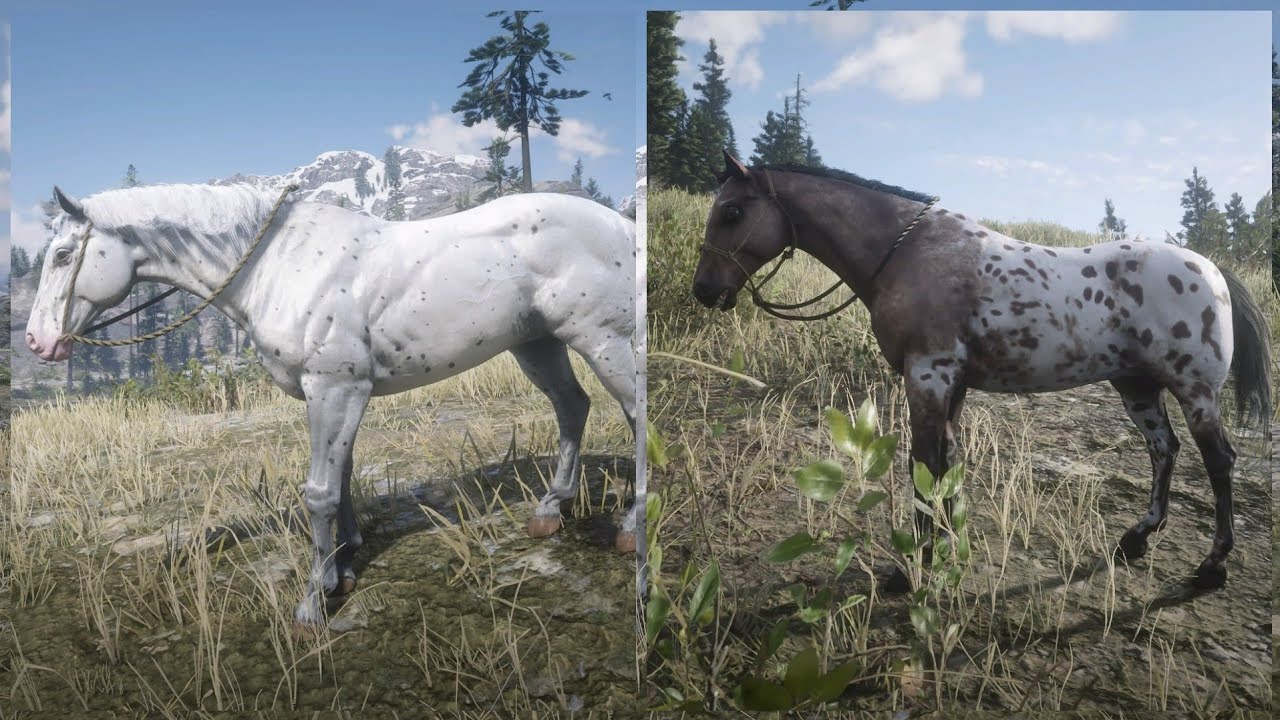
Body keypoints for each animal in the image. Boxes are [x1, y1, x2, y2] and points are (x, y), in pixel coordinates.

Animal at [26, 183, 638, 626]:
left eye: (63, 254)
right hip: (537, 344)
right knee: (573, 407)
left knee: (635, 416)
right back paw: (550, 510)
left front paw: (313, 605)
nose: (37, 342)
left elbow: (319, 493)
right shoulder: (334, 395)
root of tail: (623, 225)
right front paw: (340, 567)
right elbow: (341, 480)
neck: (277, 266)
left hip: (604, 341)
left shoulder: (335, 388)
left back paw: (629, 528)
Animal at [692, 150, 1271, 592]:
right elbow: (945, 464)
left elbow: (923, 465)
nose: (704, 290)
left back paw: (1212, 566)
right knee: (1163, 450)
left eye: (733, 211)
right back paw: (1136, 539)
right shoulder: (951, 385)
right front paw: (947, 545)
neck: (908, 253)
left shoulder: (928, 377)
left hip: (1195, 391)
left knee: (1218, 462)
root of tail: (1213, 269)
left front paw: (915, 566)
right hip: (1137, 387)